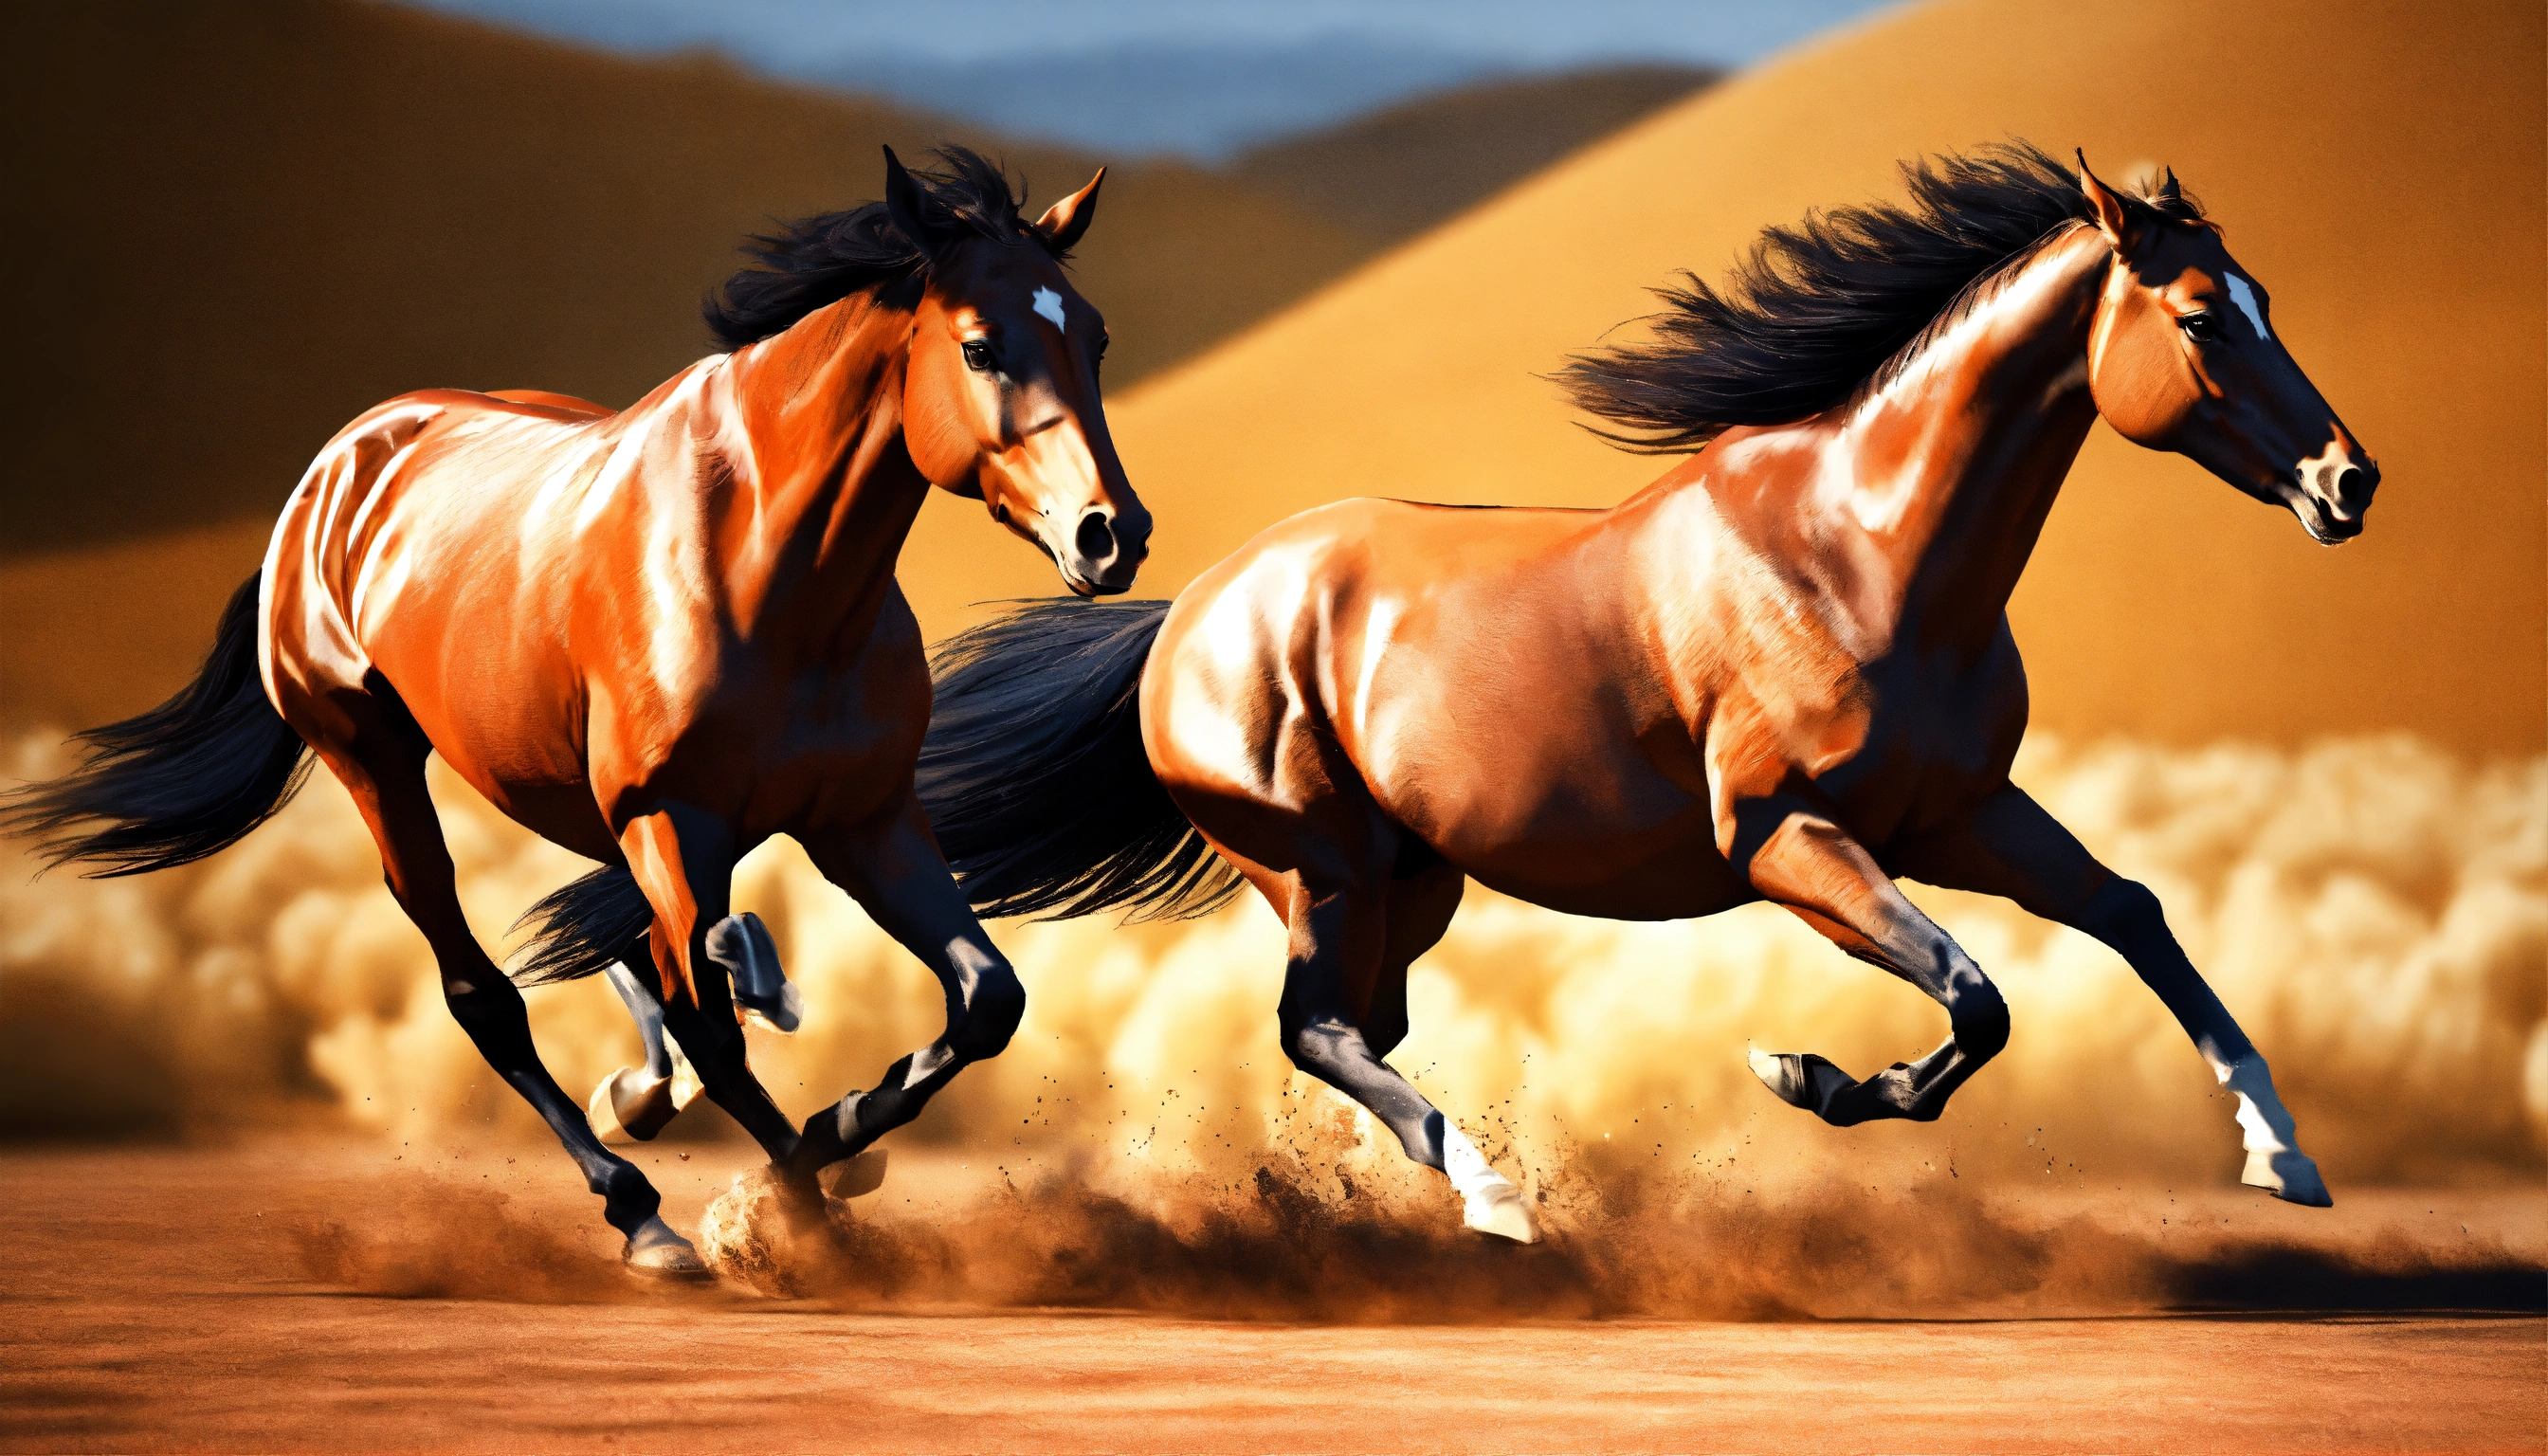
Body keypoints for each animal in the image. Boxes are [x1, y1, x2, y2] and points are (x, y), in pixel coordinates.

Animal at [5, 146, 1150, 1274]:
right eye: (979, 347)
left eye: (1095, 337)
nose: (1112, 534)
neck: (772, 574)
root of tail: (333, 471)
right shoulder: (670, 821)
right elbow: (716, 1034)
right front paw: (793, 1216)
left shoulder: (864, 820)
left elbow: (986, 998)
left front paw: (833, 1141)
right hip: (375, 760)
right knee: (487, 997)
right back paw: (640, 1210)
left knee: (646, 967)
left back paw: (646, 1110)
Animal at [900, 143, 2370, 1242]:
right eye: (2200, 319)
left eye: (2269, 301)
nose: (2347, 481)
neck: (1863, 554)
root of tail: (1184, 613)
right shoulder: (1788, 842)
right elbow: (1976, 995)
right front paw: (1810, 1076)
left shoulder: (1961, 813)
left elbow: (2131, 915)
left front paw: (2282, 1155)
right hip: (1318, 866)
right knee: (1318, 1029)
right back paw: (1488, 1195)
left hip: (1410, 885)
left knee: (1355, 1034)